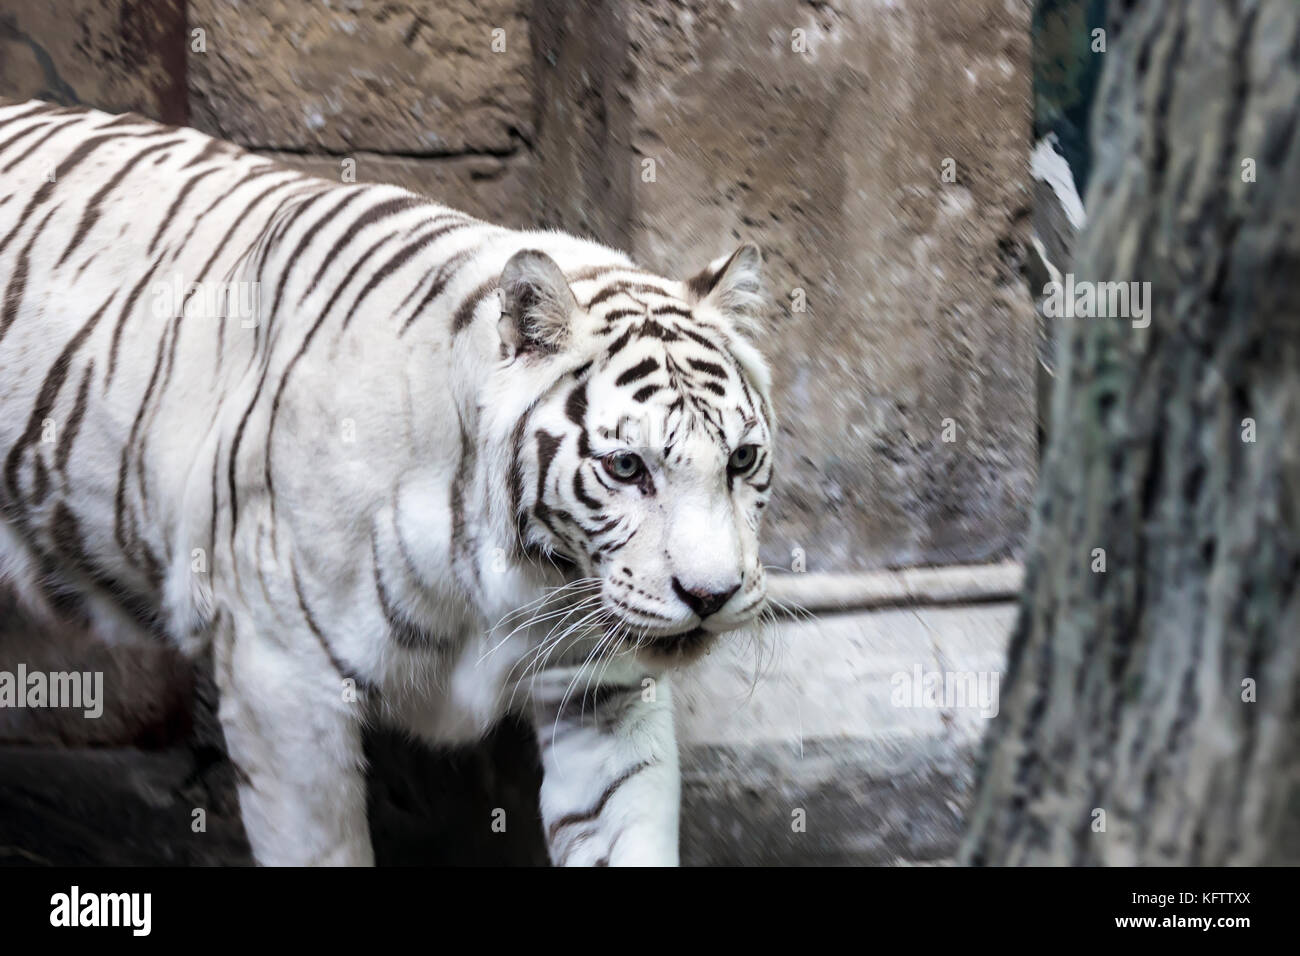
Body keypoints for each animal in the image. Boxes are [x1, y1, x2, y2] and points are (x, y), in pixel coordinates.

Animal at [0, 98, 775, 866]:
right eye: (626, 466)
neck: (521, 574)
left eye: (740, 460)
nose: (711, 597)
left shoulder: (602, 690)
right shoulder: (281, 680)